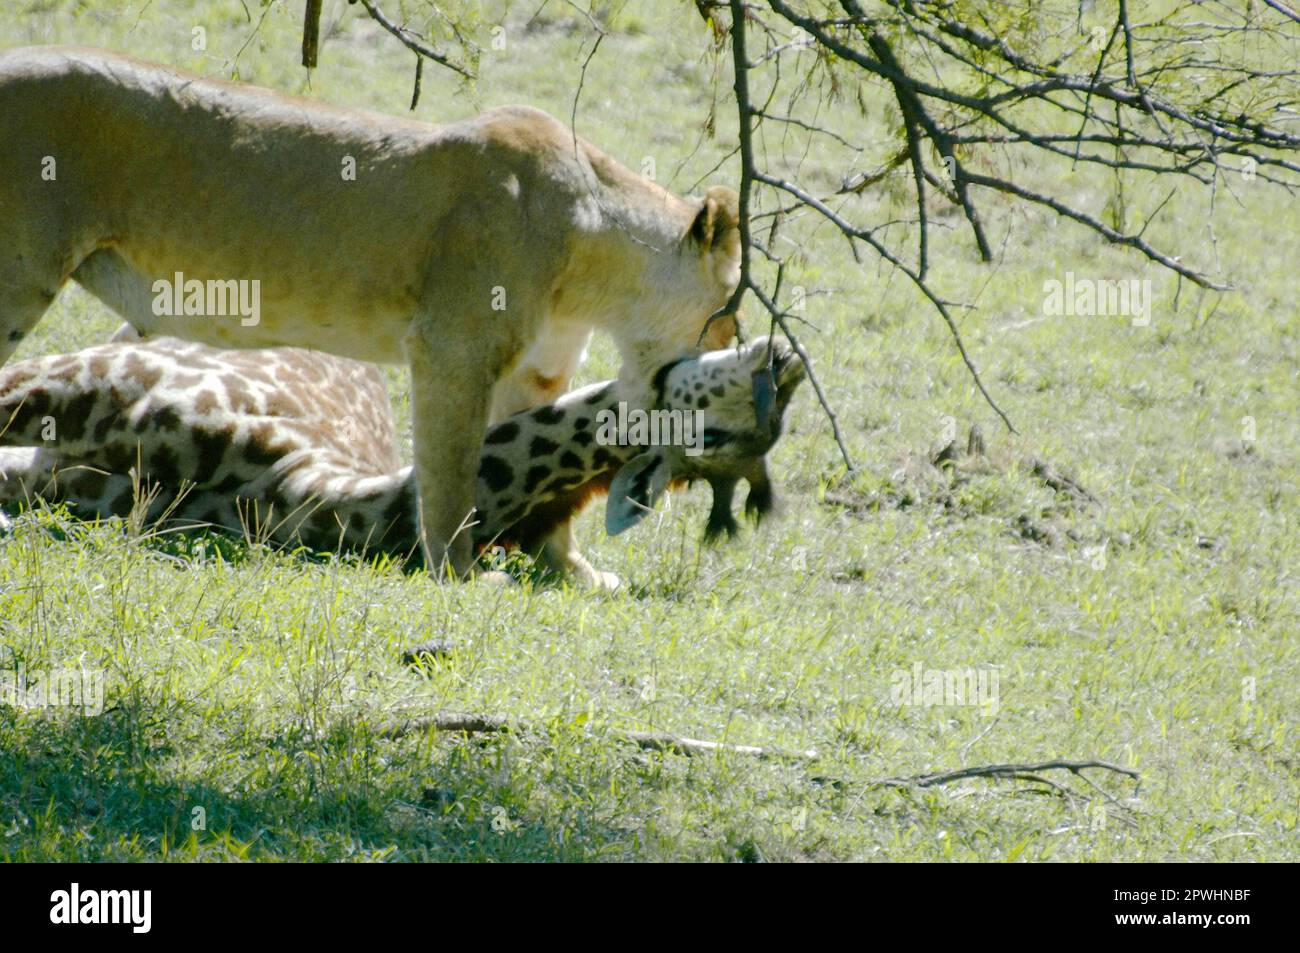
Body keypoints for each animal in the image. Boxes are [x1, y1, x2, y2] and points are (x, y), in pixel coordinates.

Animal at [0, 45, 741, 577]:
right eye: (732, 308)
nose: (743, 347)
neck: (593, 274)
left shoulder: (534, 374)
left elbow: (540, 482)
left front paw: (572, 572)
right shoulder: (452, 351)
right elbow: (451, 479)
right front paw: (459, 574)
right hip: (19, 278)